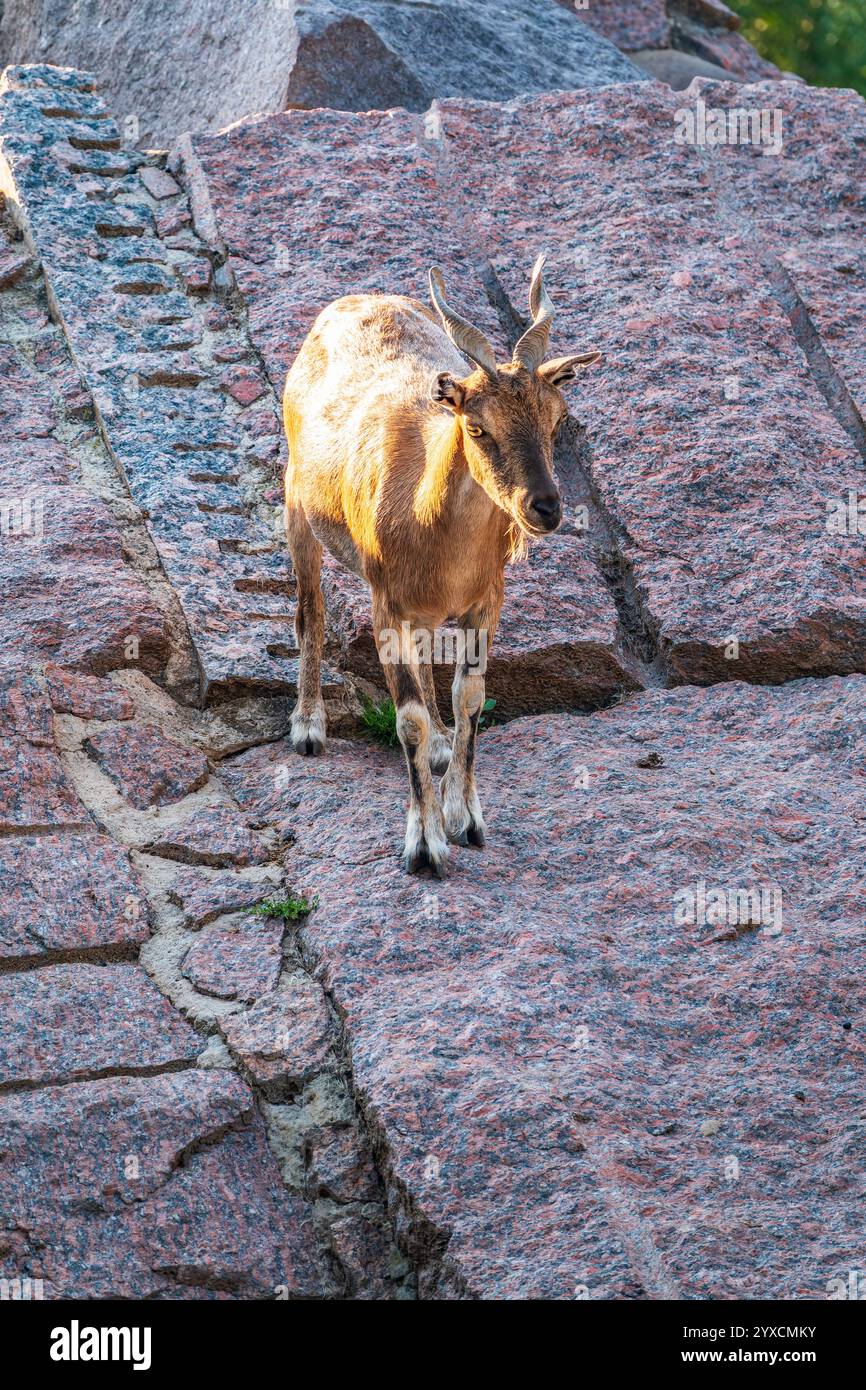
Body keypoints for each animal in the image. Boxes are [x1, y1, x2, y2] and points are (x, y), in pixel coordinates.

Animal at [283, 256, 601, 874]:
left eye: (556, 420)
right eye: (477, 426)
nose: (545, 509)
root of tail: (355, 300)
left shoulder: (485, 603)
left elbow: (468, 697)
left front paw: (466, 819)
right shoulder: (387, 607)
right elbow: (406, 718)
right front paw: (425, 846)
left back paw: (439, 747)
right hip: (296, 505)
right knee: (311, 609)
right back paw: (308, 727)